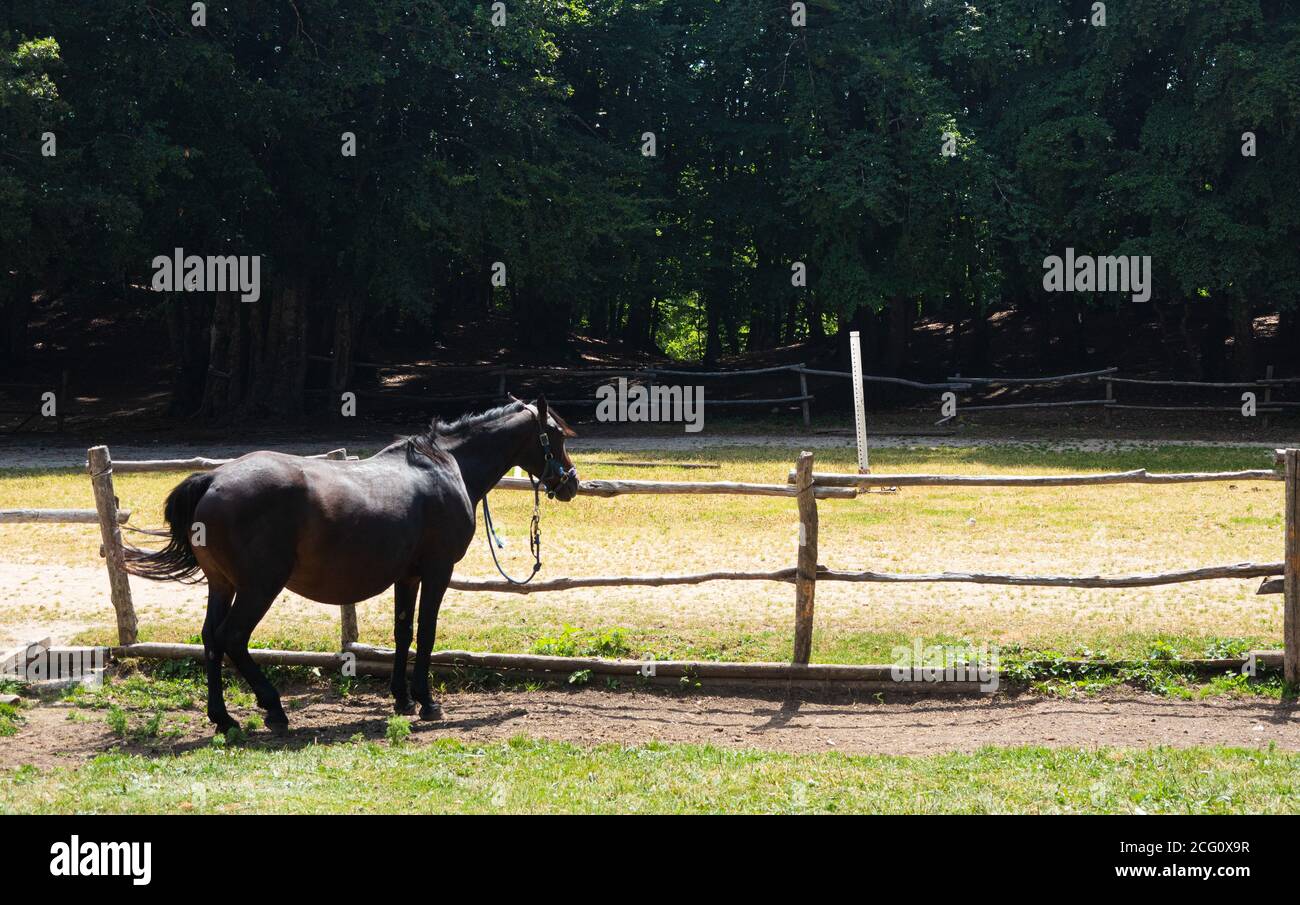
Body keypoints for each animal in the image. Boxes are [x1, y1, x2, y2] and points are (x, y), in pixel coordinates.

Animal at [123, 397, 579, 734]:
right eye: (555, 435)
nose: (571, 482)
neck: (445, 468)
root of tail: (213, 480)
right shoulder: (437, 571)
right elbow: (427, 633)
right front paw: (427, 702)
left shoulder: (407, 575)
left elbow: (402, 632)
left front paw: (402, 698)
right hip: (258, 588)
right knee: (232, 637)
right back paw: (273, 709)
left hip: (222, 585)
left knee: (210, 640)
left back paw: (223, 719)